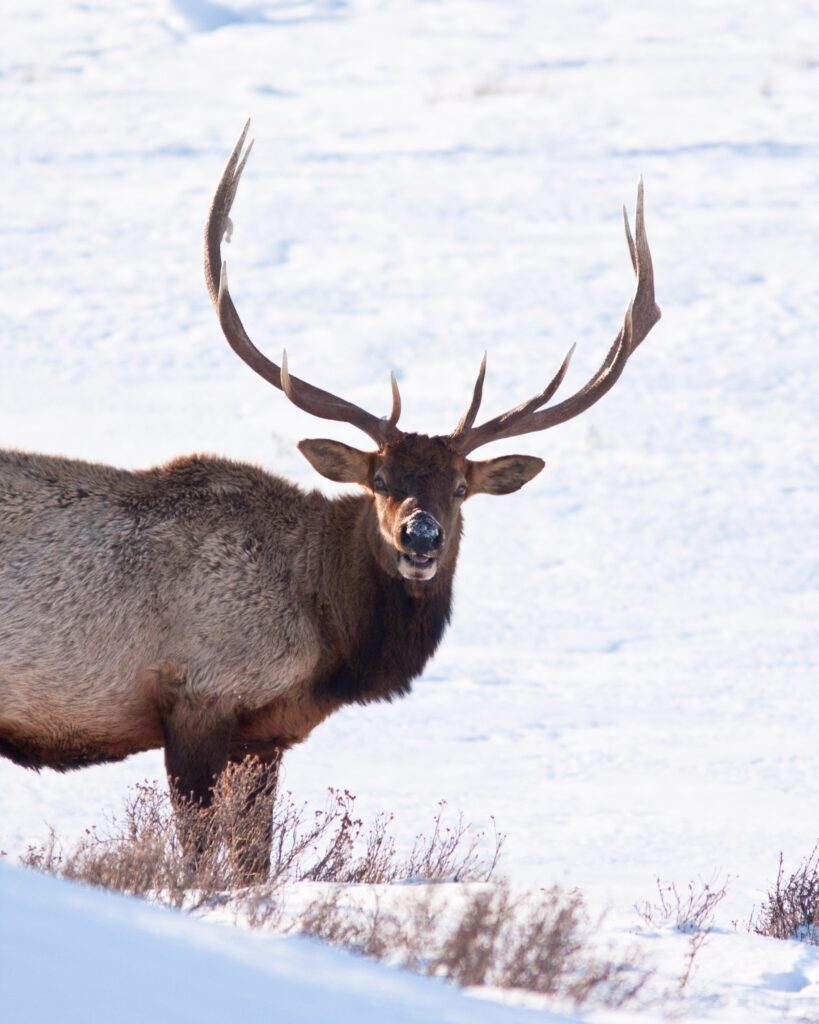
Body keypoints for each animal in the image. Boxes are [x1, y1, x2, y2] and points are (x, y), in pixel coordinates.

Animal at [0, 122, 660, 881]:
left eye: (460, 487)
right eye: (379, 480)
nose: (421, 538)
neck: (326, 636)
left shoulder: (265, 734)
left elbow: (253, 865)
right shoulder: (197, 696)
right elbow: (195, 860)